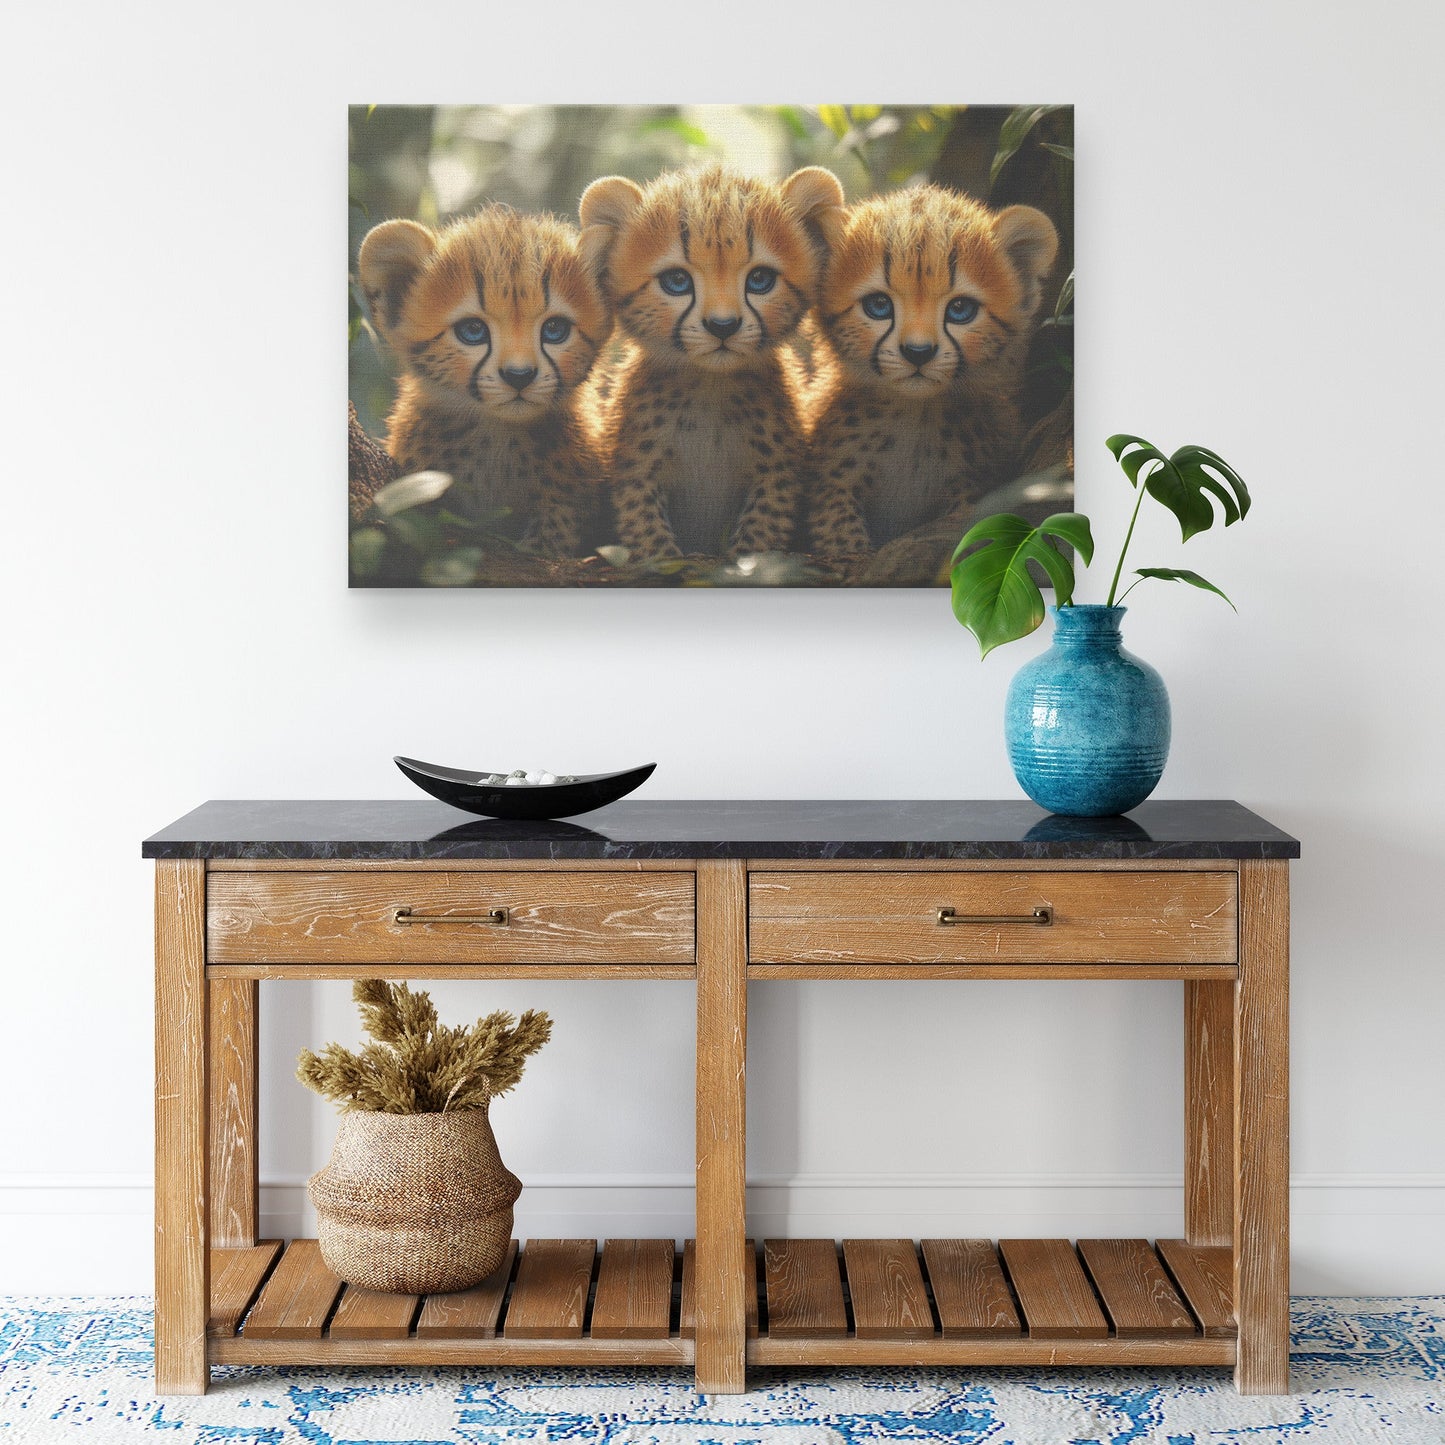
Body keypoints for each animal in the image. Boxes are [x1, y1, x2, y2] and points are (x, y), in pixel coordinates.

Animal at [578, 164, 845, 560]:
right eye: (676, 281)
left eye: (760, 279)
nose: (723, 326)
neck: (710, 386)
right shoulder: (635, 473)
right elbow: (648, 533)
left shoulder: (776, 475)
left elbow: (759, 534)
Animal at [805, 185, 1059, 581]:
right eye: (878, 305)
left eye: (960, 310)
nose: (918, 352)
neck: (915, 413)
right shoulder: (833, 479)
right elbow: (836, 525)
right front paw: (850, 557)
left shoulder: (971, 482)